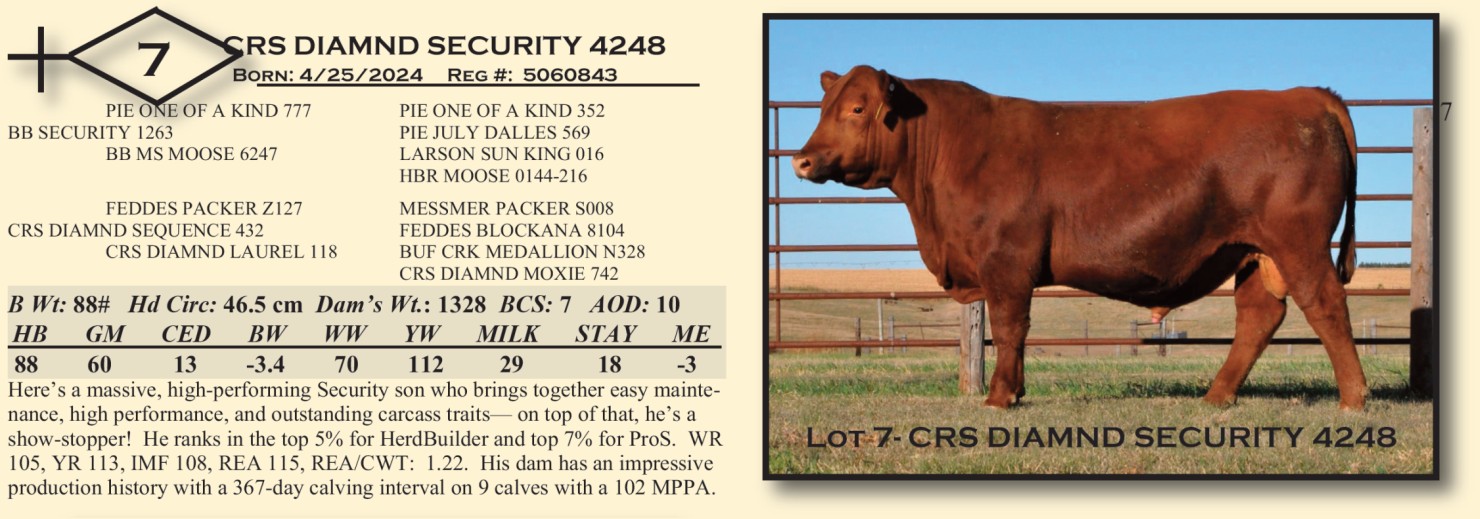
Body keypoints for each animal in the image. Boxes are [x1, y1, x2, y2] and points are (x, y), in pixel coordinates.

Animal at [790, 65, 1366, 410]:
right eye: (823, 107)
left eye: (857, 108)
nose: (802, 160)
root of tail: (1306, 96)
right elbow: (1014, 332)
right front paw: (1015, 392)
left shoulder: (1007, 262)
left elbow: (1010, 327)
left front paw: (999, 398)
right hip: (1251, 251)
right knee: (1259, 316)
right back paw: (1216, 398)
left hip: (1298, 242)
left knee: (1325, 304)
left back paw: (1353, 399)